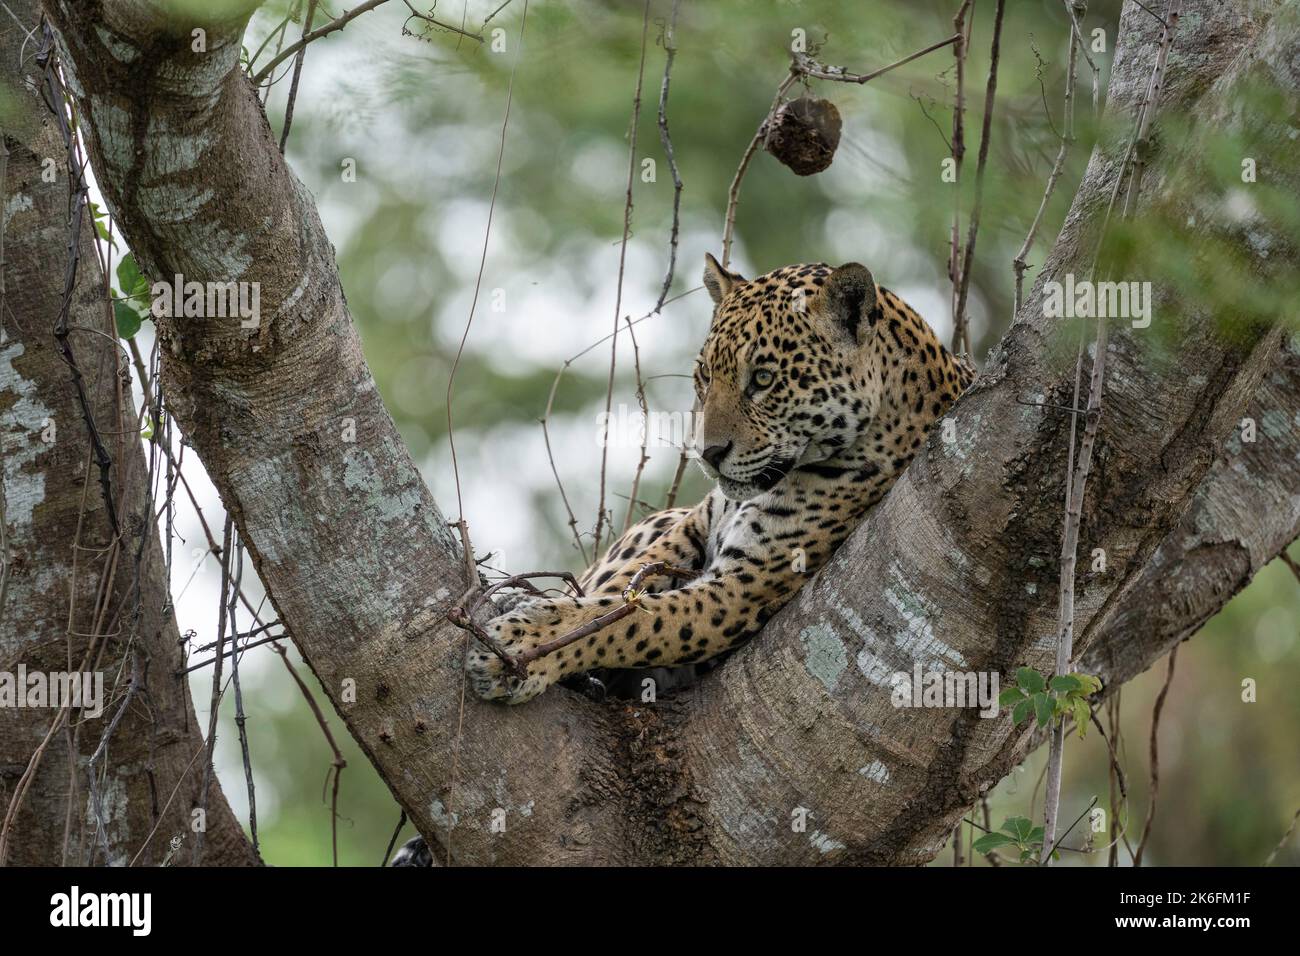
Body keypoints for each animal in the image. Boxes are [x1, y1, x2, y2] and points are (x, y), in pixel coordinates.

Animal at [467, 253, 976, 705]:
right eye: (706, 375)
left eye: (764, 378)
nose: (708, 454)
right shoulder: (692, 524)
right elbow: (620, 586)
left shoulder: (742, 588)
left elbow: (633, 620)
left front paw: (523, 646)